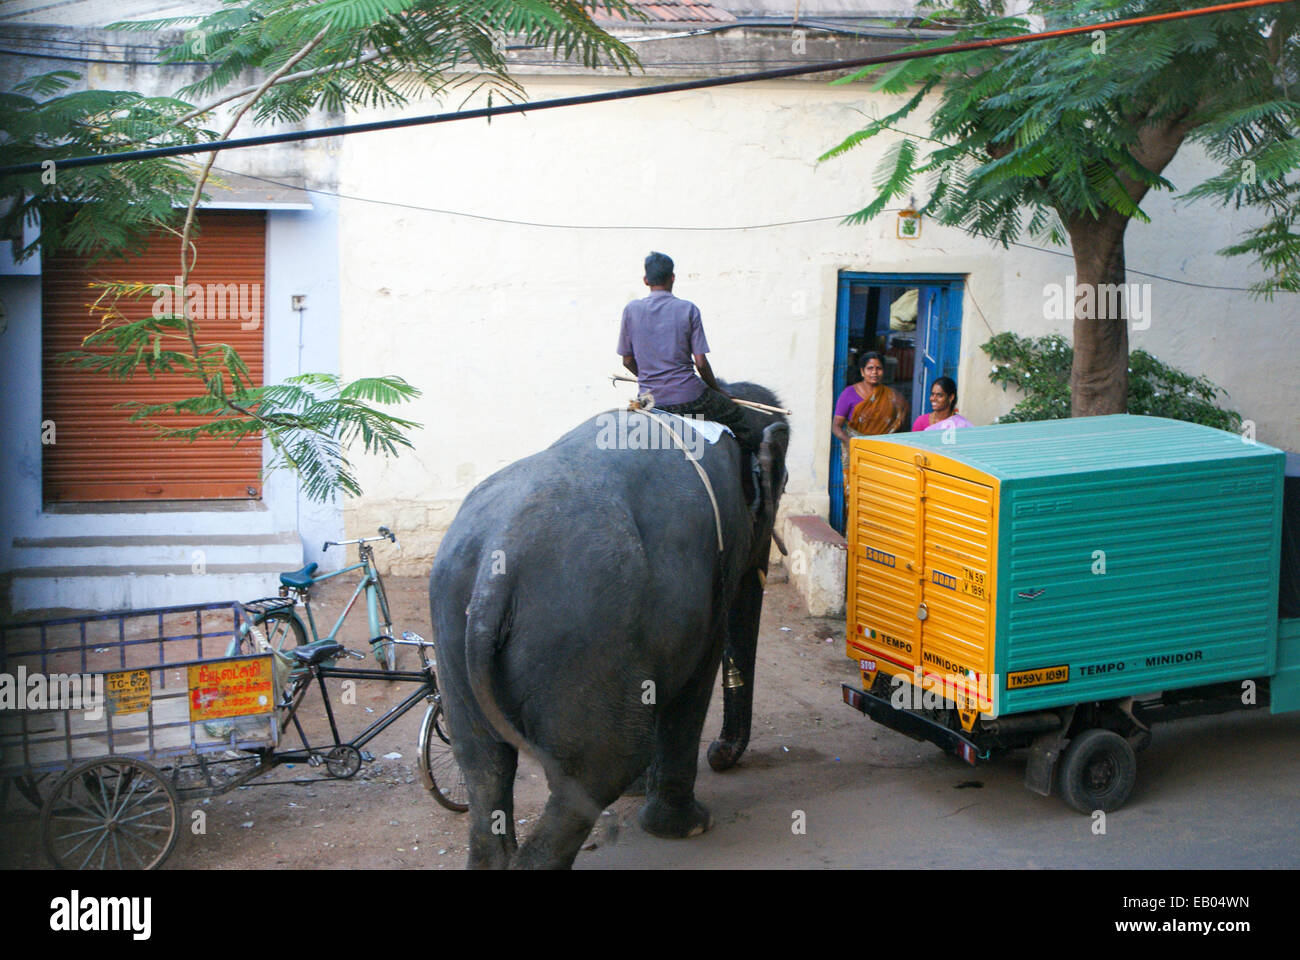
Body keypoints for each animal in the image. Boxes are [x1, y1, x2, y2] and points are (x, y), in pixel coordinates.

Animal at [429, 382, 790, 869]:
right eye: (782, 486)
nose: (719, 756)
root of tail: (494, 571)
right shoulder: (722, 550)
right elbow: (697, 673)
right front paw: (688, 827)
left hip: (455, 626)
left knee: (482, 765)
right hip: (582, 639)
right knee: (597, 770)